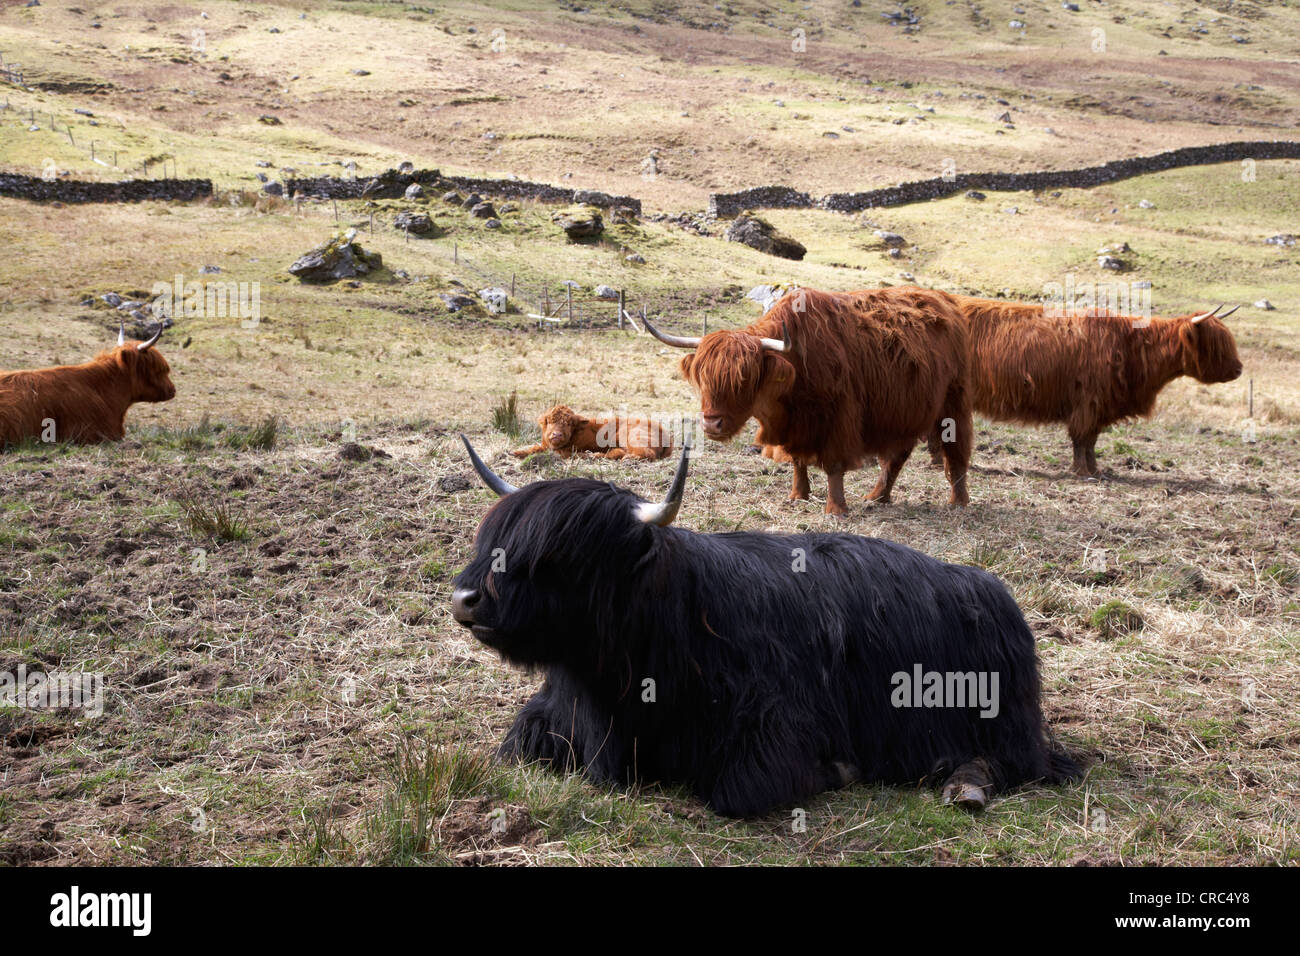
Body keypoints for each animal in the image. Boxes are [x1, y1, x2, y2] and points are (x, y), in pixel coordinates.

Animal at [451, 435, 1081, 818]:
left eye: (564, 553)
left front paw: (838, 769)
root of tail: (989, 587)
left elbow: (738, 790)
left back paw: (964, 785)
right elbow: (514, 750)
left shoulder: (774, 728)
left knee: (1017, 759)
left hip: (997, 714)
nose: (466, 599)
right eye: (494, 539)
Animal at [511, 404, 672, 461]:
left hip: (630, 437)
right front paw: (516, 452)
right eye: (549, 420)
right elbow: (534, 447)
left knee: (644, 453)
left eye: (569, 423)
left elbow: (561, 453)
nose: (556, 435)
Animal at [645, 286, 973, 515]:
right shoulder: (796, 426)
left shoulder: (838, 418)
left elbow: (834, 466)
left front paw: (836, 509)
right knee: (897, 456)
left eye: (744, 378)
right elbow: (797, 460)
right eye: (702, 377)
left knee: (956, 454)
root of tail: (945, 303)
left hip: (952, 406)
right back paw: (878, 496)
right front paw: (798, 495)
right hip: (906, 413)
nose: (712, 423)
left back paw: (958, 502)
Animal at [928, 298, 1244, 476]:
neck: (1133, 347)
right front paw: (1083, 472)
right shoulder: (1089, 403)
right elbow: (1082, 440)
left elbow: (1092, 442)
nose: (1239, 369)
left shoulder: (1100, 407)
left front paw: (1096, 469)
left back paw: (936, 461)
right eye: (1216, 344)